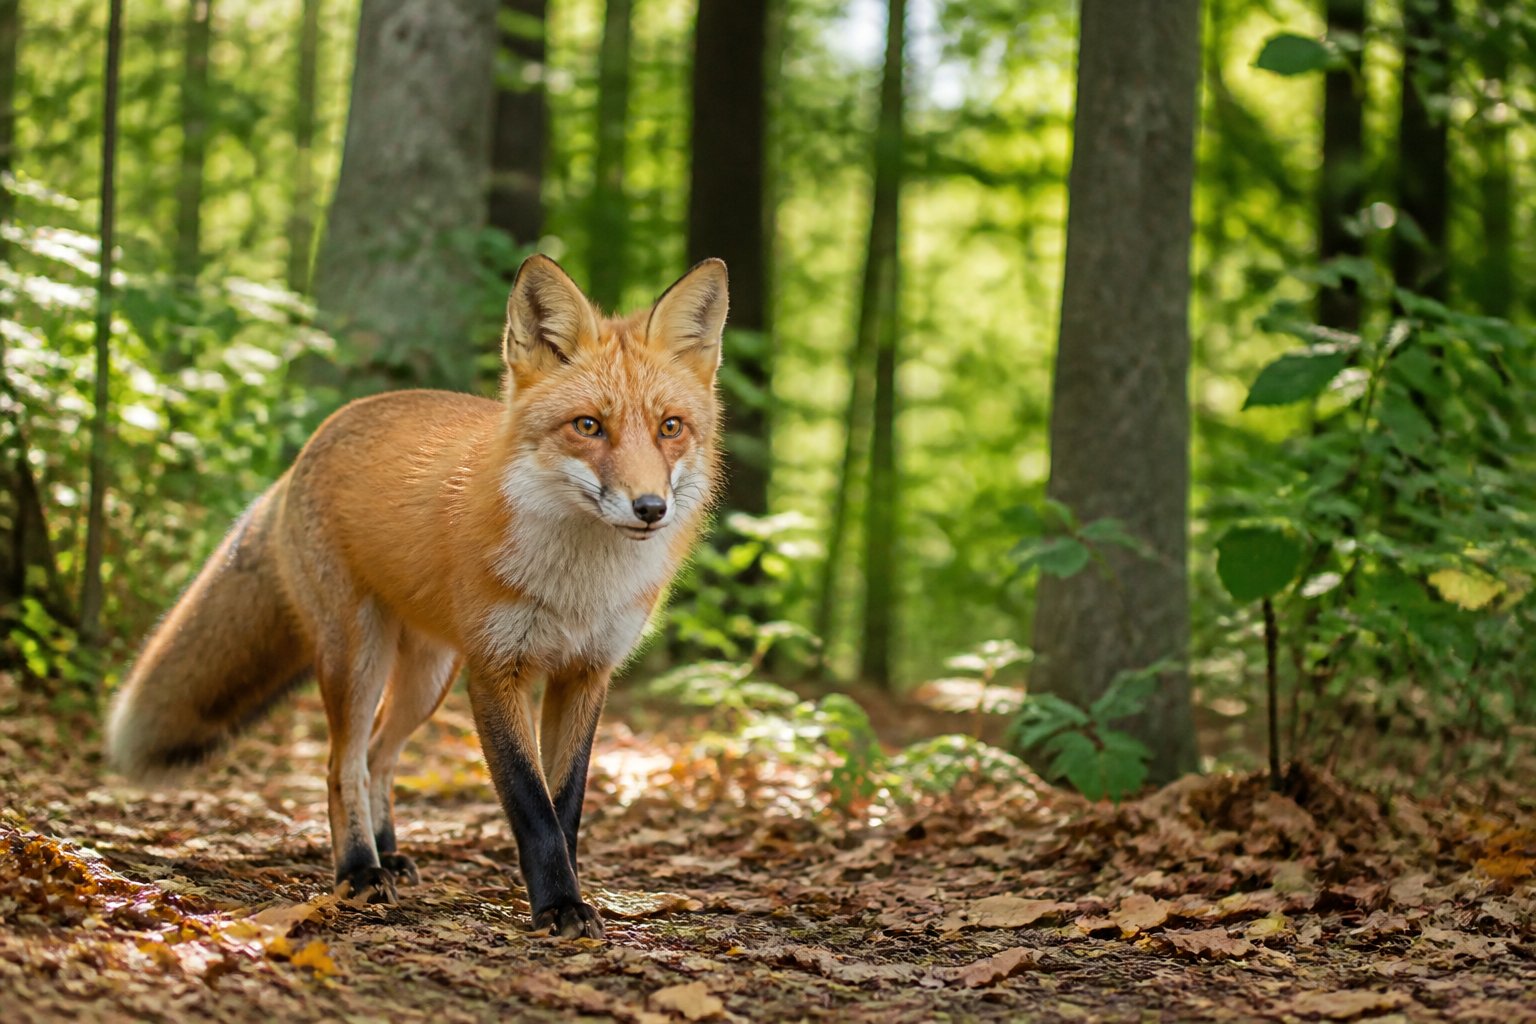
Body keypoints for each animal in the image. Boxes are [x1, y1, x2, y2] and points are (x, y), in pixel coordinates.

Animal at [107, 255, 729, 939]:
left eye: (670, 428)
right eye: (588, 426)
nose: (650, 508)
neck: (578, 587)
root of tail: (316, 440)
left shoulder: (586, 673)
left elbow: (565, 805)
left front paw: (567, 896)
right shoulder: (495, 670)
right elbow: (530, 804)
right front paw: (558, 905)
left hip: (427, 678)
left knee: (380, 755)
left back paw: (390, 852)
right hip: (358, 657)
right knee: (343, 764)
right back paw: (359, 868)